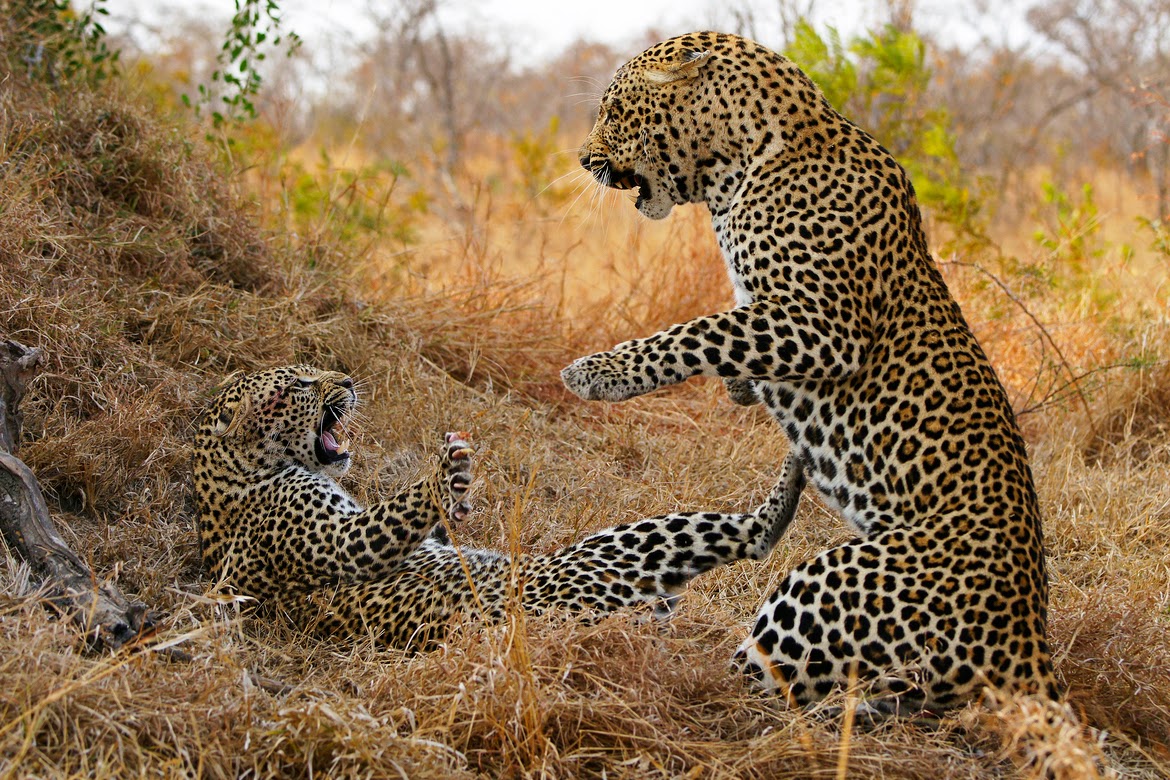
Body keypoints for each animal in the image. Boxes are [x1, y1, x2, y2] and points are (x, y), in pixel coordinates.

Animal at [192, 364, 805, 650]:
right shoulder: (342, 543)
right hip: (613, 550)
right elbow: (387, 518)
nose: (345, 378)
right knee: (754, 532)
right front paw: (447, 472)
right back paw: (795, 459)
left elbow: (433, 531)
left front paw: (457, 502)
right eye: (299, 384)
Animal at [562, 31, 1060, 715]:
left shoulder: (822, 324)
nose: (586, 160)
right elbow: (727, 336)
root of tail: (1030, 641)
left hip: (830, 583)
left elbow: (698, 331)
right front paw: (740, 387)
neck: (737, 169)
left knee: (752, 685)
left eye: (614, 111)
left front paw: (602, 372)